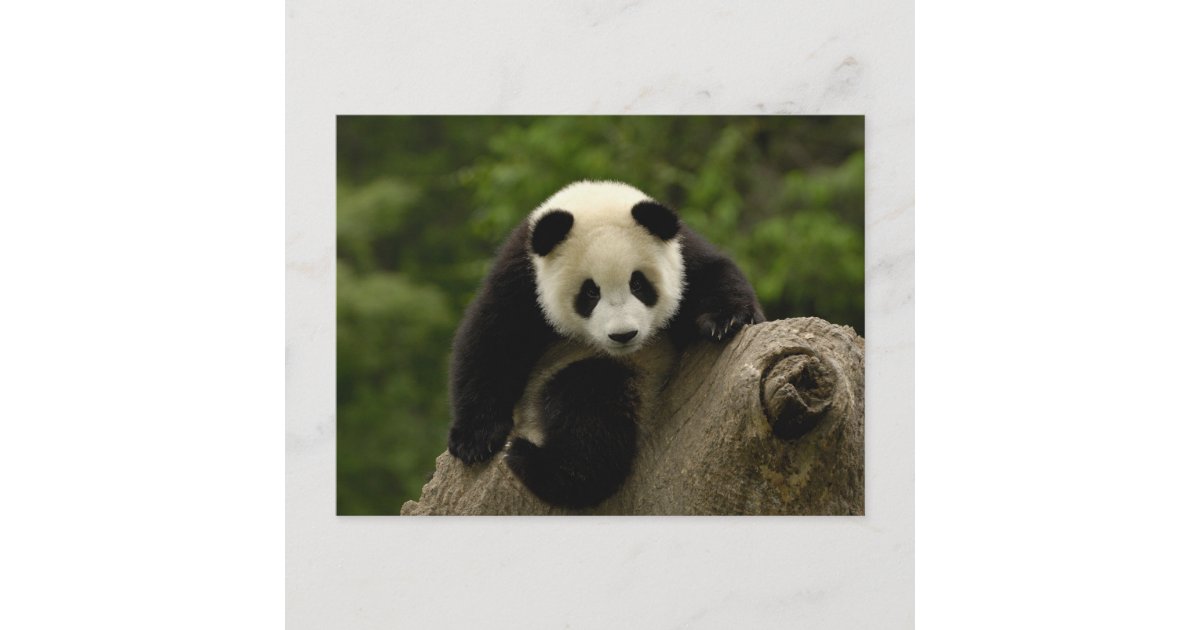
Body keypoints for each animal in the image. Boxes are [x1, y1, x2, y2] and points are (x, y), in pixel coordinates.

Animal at [448, 180, 765, 508]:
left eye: (638, 284)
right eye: (590, 292)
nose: (623, 335)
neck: (593, 199)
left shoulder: (682, 255)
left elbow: (716, 273)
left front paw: (727, 319)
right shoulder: (521, 274)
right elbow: (492, 341)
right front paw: (475, 441)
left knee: (591, 402)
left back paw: (535, 461)